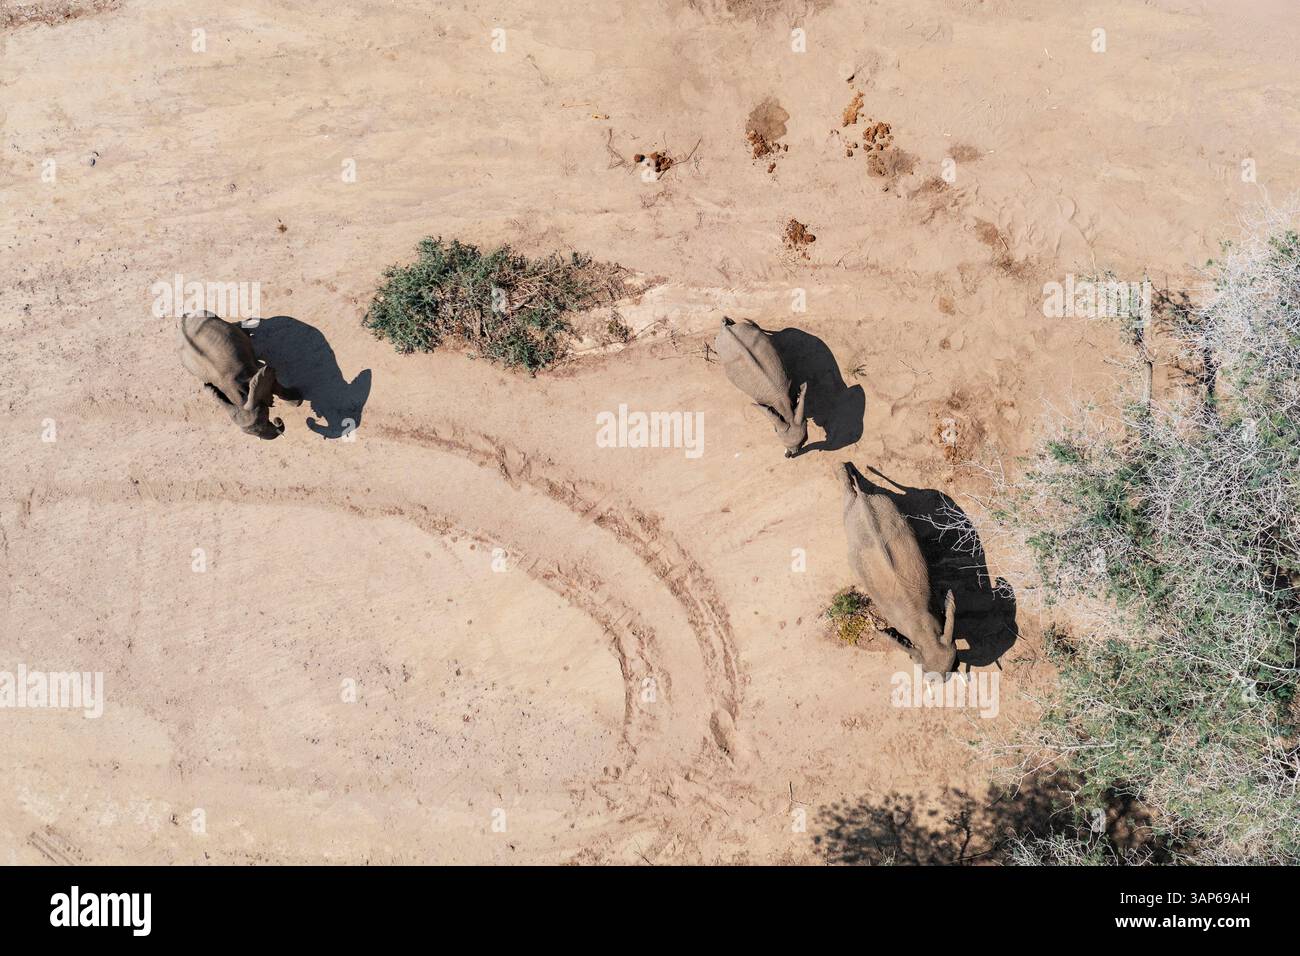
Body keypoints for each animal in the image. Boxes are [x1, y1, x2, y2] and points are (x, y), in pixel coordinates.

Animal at [714, 317, 808, 457]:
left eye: (804, 441)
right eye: (775, 431)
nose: (789, 455)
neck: (780, 399)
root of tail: (726, 330)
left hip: (743, 329)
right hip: (720, 345)